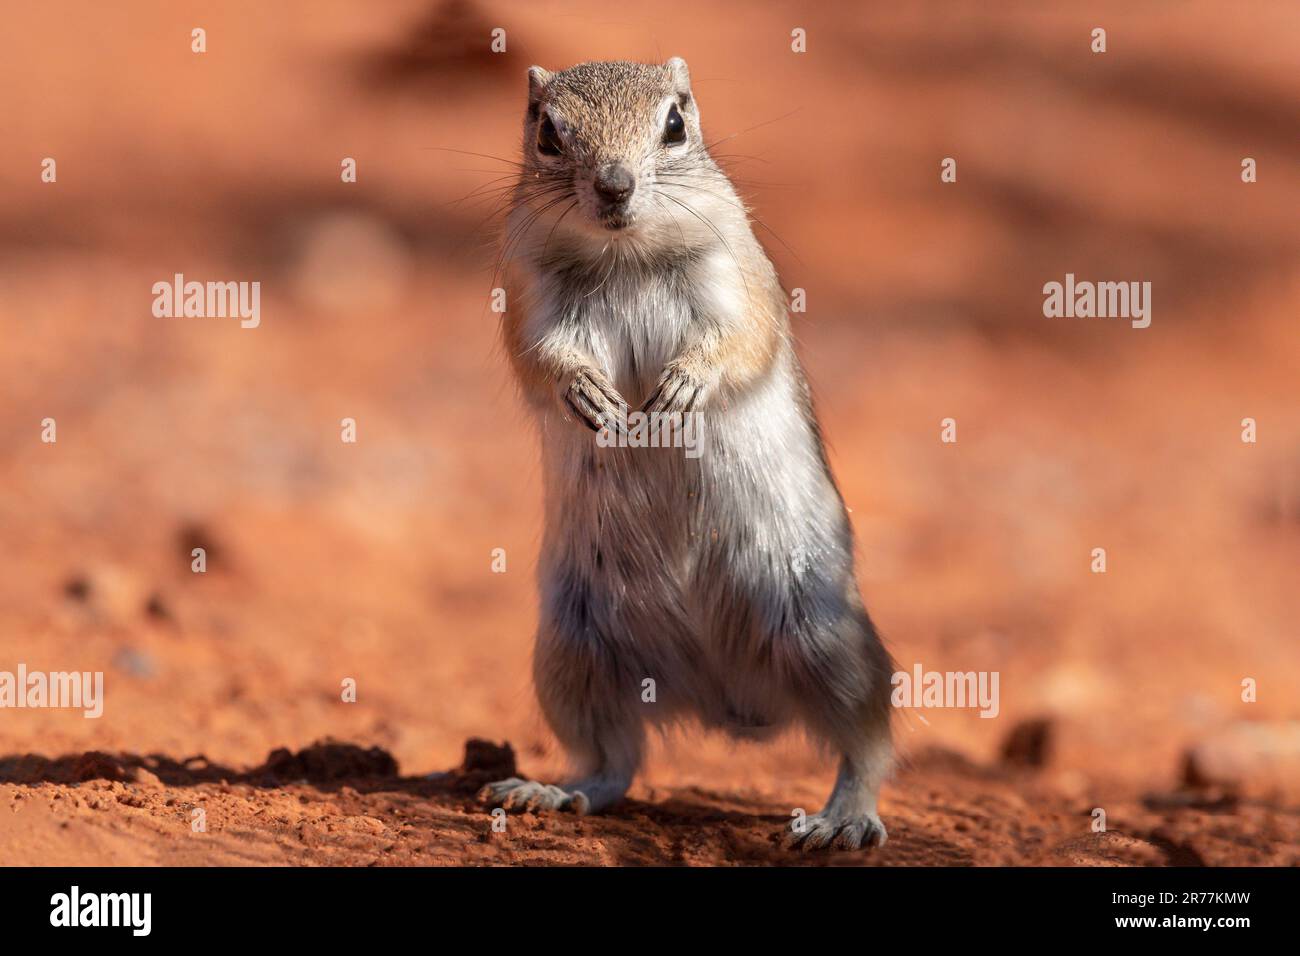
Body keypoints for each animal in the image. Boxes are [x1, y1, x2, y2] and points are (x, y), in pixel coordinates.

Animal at [479, 58, 894, 850]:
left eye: (675, 123)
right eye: (548, 133)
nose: (614, 185)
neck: (626, 257)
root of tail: (726, 700)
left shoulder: (738, 278)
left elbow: (740, 342)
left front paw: (681, 387)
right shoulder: (527, 295)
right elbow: (539, 360)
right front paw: (590, 396)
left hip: (829, 639)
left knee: (867, 743)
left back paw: (843, 819)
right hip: (573, 655)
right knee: (611, 760)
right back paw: (553, 790)